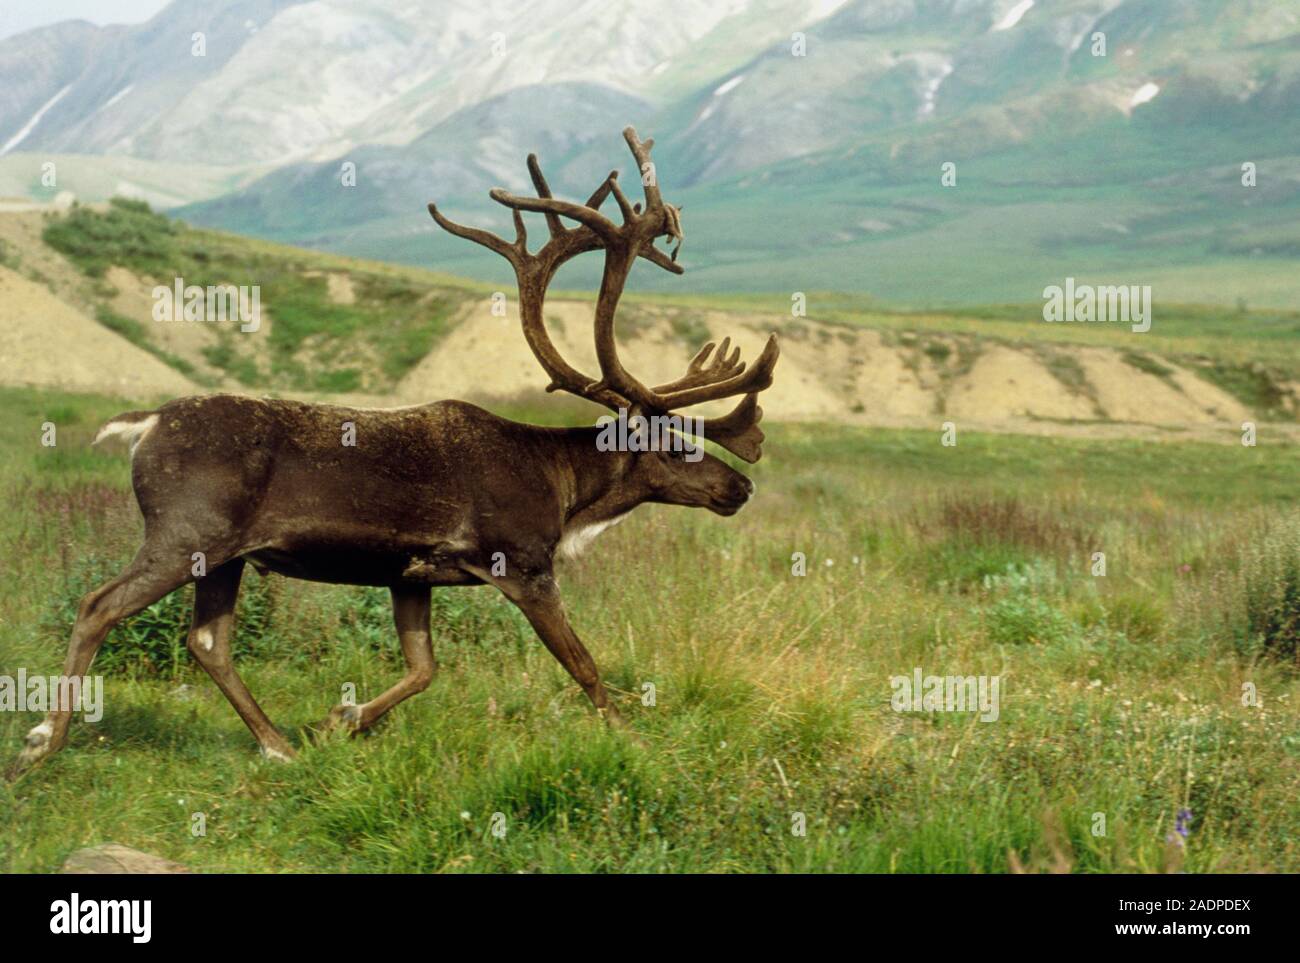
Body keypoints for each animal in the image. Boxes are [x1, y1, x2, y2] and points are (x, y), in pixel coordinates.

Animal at [8, 127, 779, 778]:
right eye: (673, 444)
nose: (739, 488)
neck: (564, 490)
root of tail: (143, 424)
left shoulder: (409, 574)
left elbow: (423, 668)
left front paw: (341, 719)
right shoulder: (524, 563)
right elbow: (584, 664)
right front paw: (631, 739)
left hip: (222, 556)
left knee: (207, 642)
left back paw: (280, 744)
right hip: (182, 534)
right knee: (99, 605)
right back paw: (43, 741)